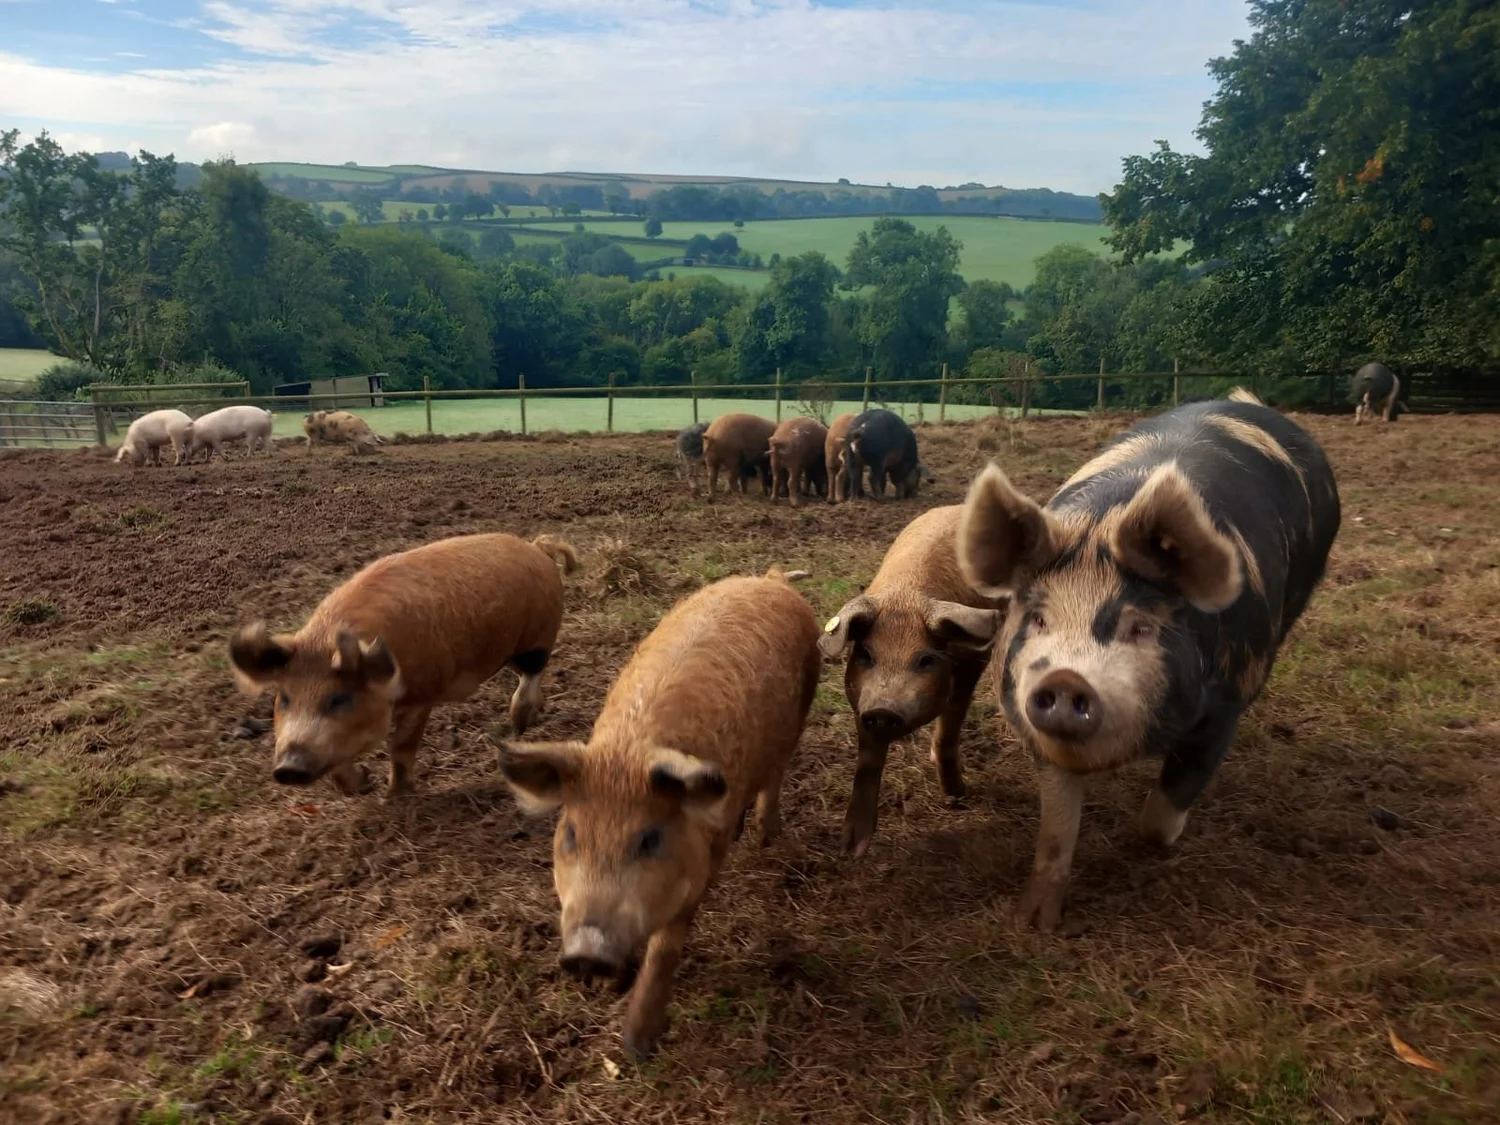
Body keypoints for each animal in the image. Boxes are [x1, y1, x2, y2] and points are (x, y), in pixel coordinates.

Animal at [229, 532, 578, 798]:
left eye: (339, 699)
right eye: (285, 699)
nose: (288, 768)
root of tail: (536, 547)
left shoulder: (422, 696)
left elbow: (401, 747)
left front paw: (394, 796)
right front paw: (365, 785)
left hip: (538, 637)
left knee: (532, 675)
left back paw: (516, 727)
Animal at [499, 569, 820, 1059]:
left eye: (649, 839)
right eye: (571, 834)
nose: (585, 953)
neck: (629, 754)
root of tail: (771, 579)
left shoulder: (701, 870)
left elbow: (666, 948)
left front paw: (636, 1048)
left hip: (803, 708)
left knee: (776, 775)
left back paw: (766, 837)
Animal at [819, 506, 1003, 854]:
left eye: (925, 659)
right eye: (865, 654)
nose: (884, 709)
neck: (906, 595)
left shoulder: (973, 664)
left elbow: (949, 726)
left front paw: (957, 795)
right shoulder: (861, 698)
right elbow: (868, 758)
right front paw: (851, 848)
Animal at [955, 388, 1340, 931]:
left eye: (1139, 627)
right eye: (1039, 619)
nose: (1067, 678)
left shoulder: (1223, 708)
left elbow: (1167, 806)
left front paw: (1148, 847)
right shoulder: (1038, 731)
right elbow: (1056, 825)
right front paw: (1035, 922)